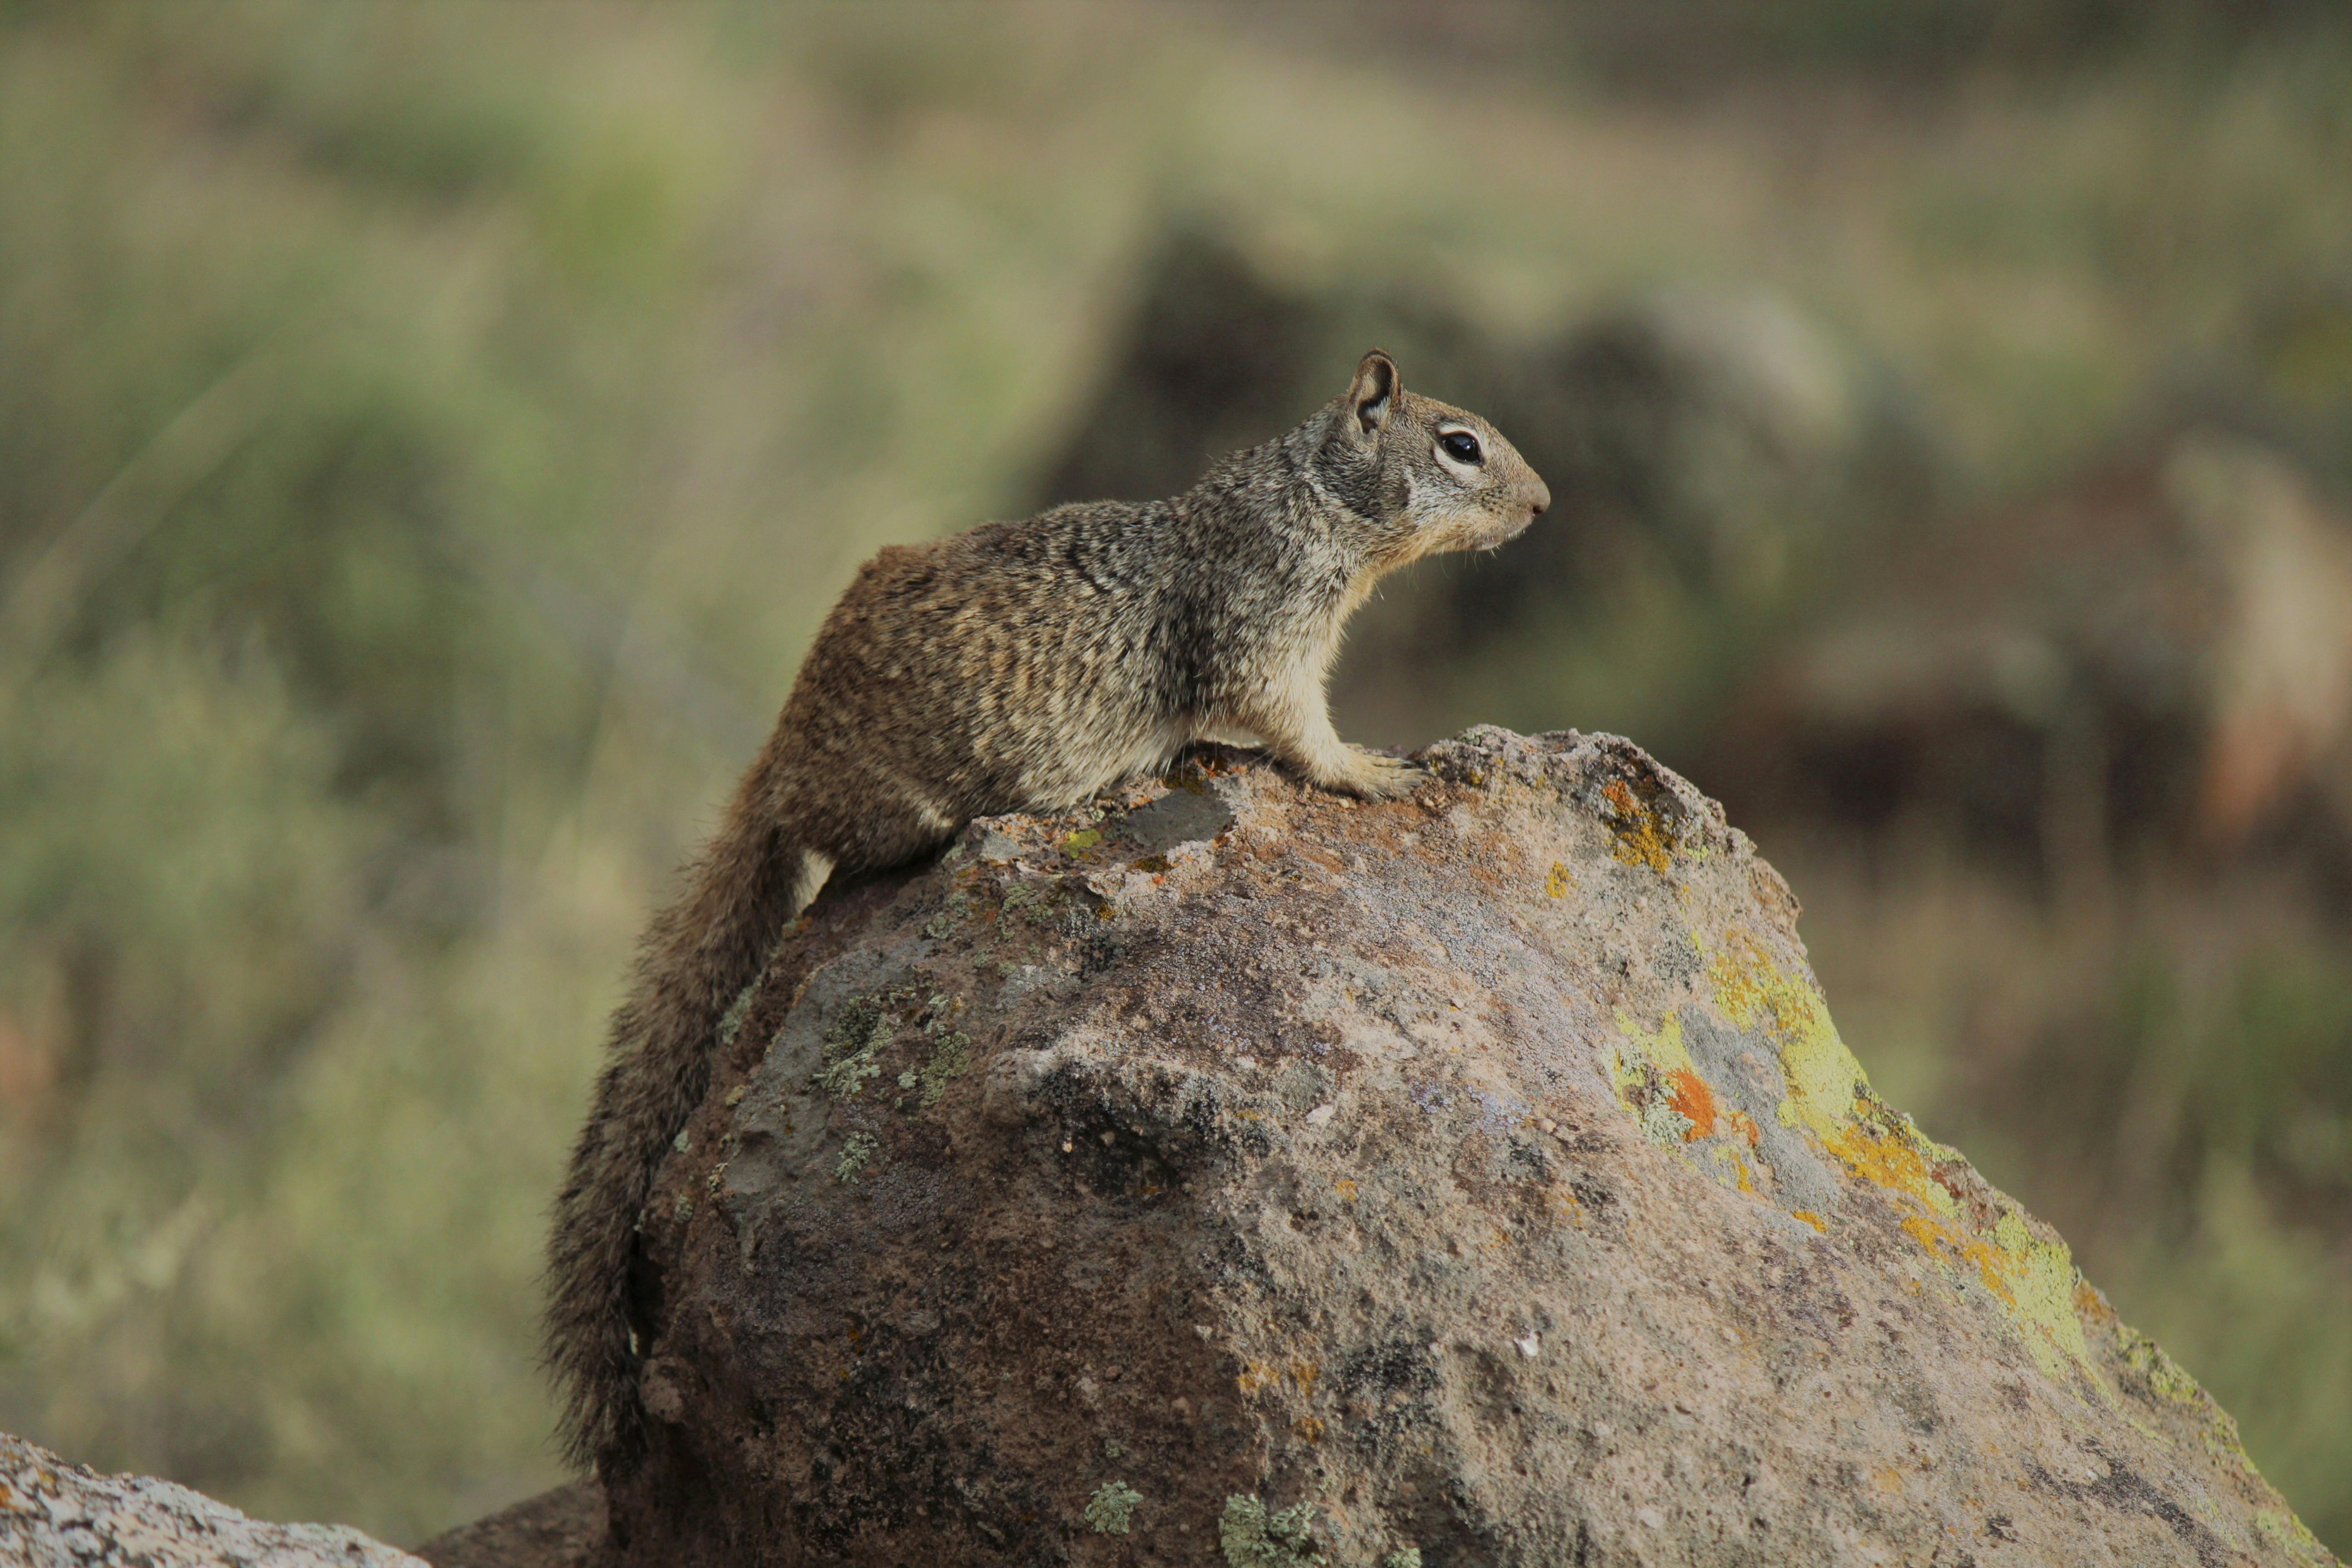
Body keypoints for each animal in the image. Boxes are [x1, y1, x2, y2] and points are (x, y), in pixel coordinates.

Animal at [543, 350, 1549, 1473]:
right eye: (1460, 445)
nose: (1544, 504)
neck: (1307, 500)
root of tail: (778, 758)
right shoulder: (1266, 627)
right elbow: (1293, 726)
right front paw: (1370, 769)